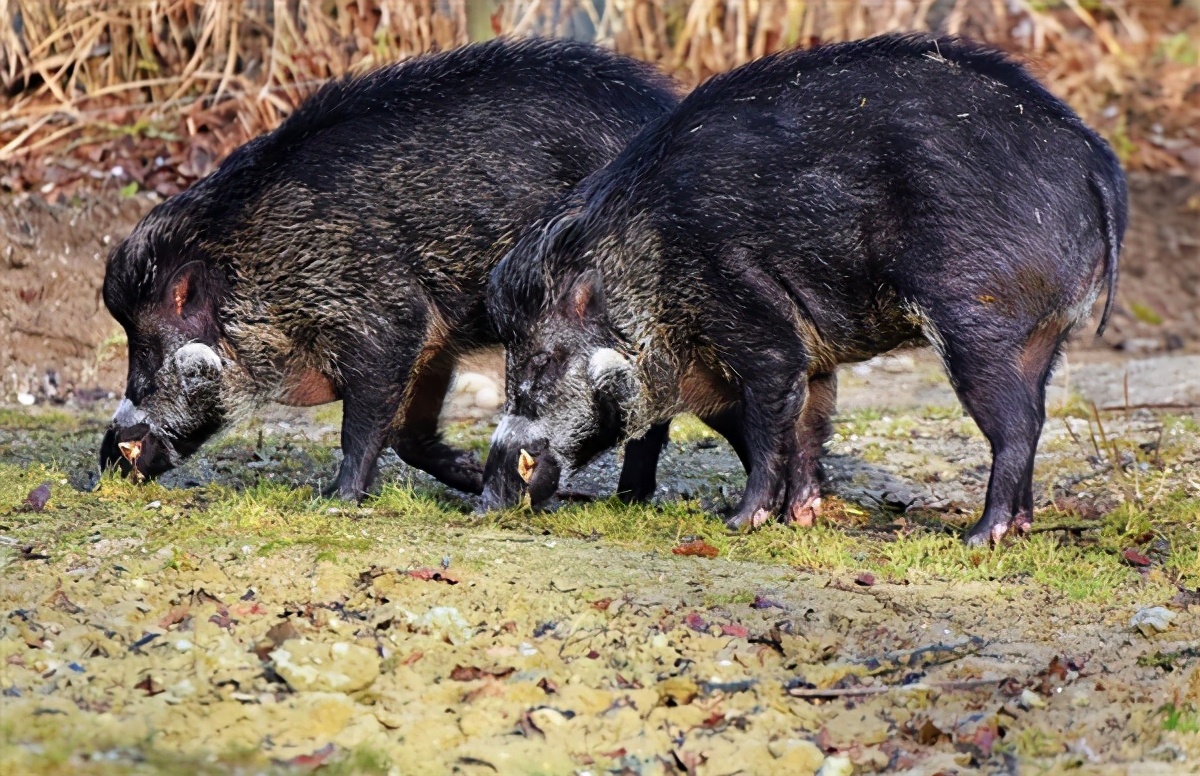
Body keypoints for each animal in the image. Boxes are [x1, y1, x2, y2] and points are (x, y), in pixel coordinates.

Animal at [99, 37, 683, 500]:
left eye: (149, 350)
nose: (106, 457)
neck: (260, 264)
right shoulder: (433, 337)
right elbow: (408, 435)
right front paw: (470, 474)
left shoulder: (383, 316)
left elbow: (361, 426)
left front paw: (335, 499)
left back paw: (624, 499)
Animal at [482, 34, 1126, 546]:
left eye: (542, 360)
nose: (486, 500)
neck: (649, 269)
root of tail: (1096, 161)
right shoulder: (810, 359)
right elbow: (810, 427)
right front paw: (801, 517)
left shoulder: (757, 323)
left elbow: (771, 426)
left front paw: (739, 522)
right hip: (1046, 334)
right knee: (1036, 415)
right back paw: (1019, 527)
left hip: (979, 321)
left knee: (1016, 426)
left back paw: (979, 537)